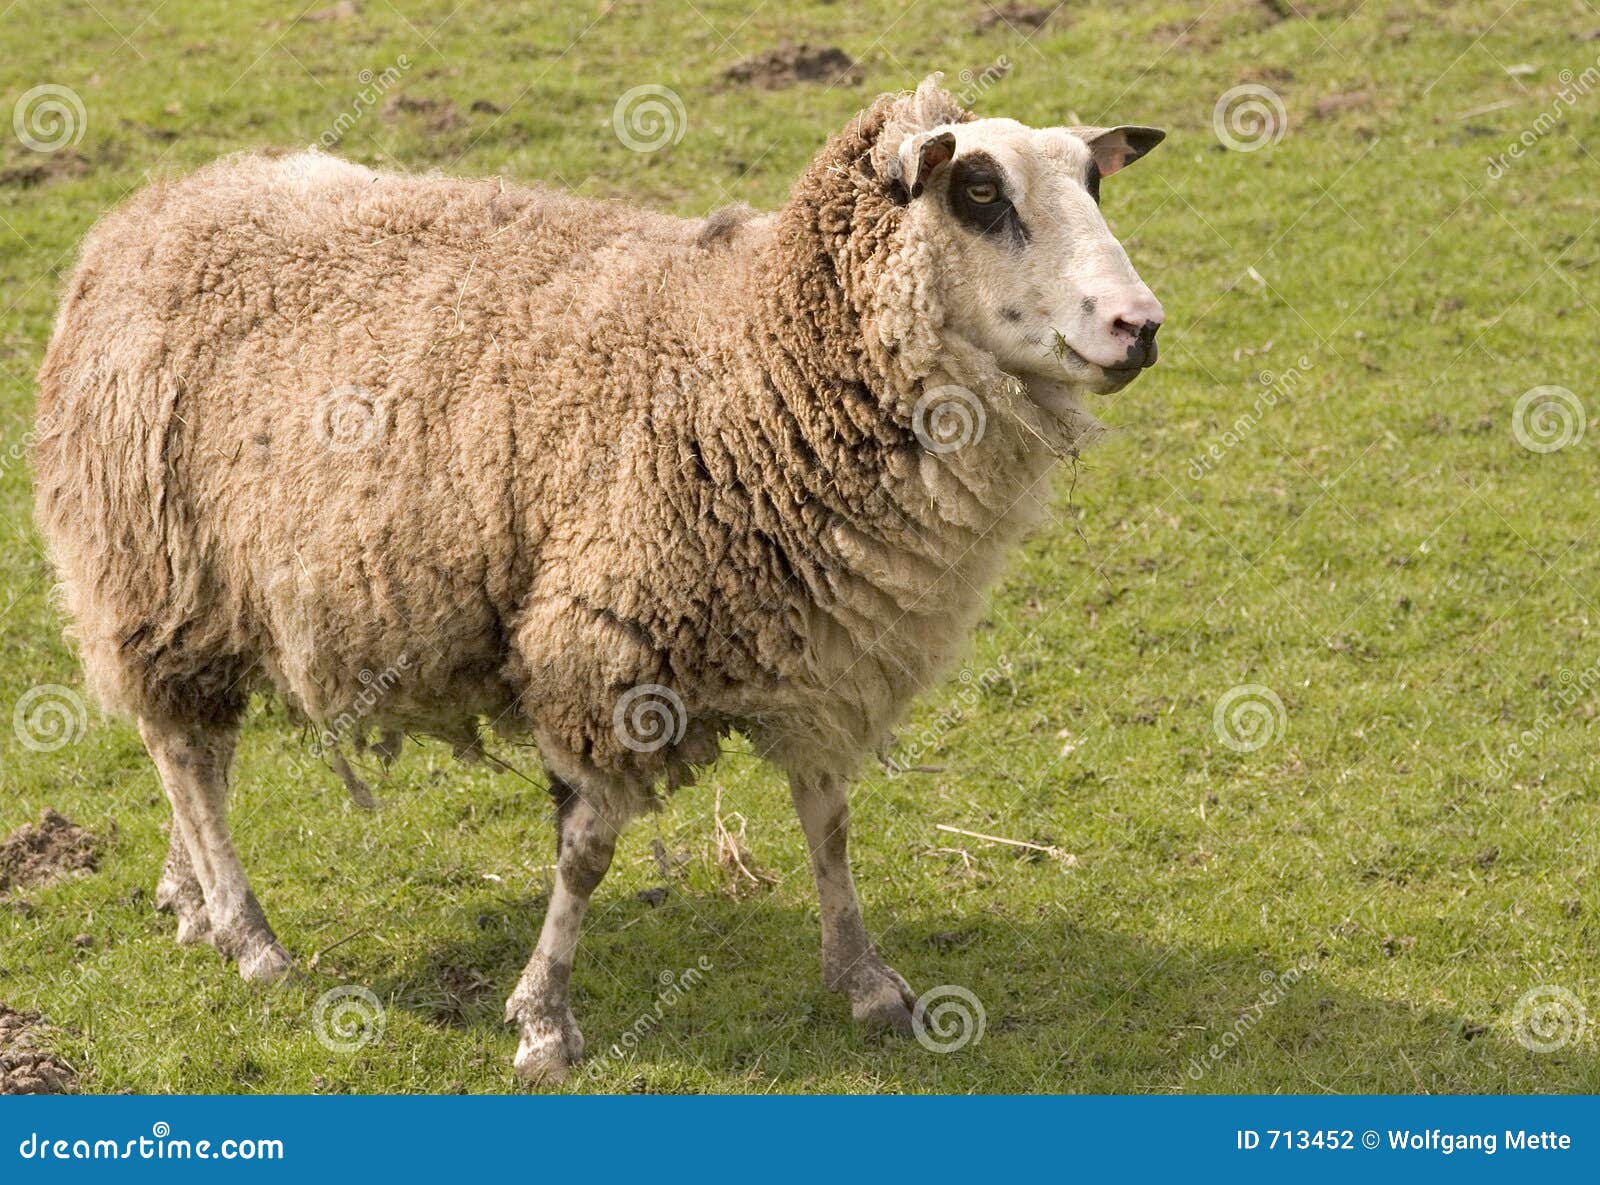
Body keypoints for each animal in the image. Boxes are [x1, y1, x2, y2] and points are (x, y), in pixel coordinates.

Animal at [32, 75, 1166, 1083]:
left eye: (1091, 182)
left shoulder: (822, 652)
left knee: (196, 762)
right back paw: (249, 935)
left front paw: (866, 980)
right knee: (186, 753)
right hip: (153, 569)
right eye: (977, 192)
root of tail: (150, 210)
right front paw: (543, 1020)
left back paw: (190, 902)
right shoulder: (609, 648)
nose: (1138, 324)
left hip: (204, 595)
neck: (748, 359)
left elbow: (830, 822)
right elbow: (584, 853)